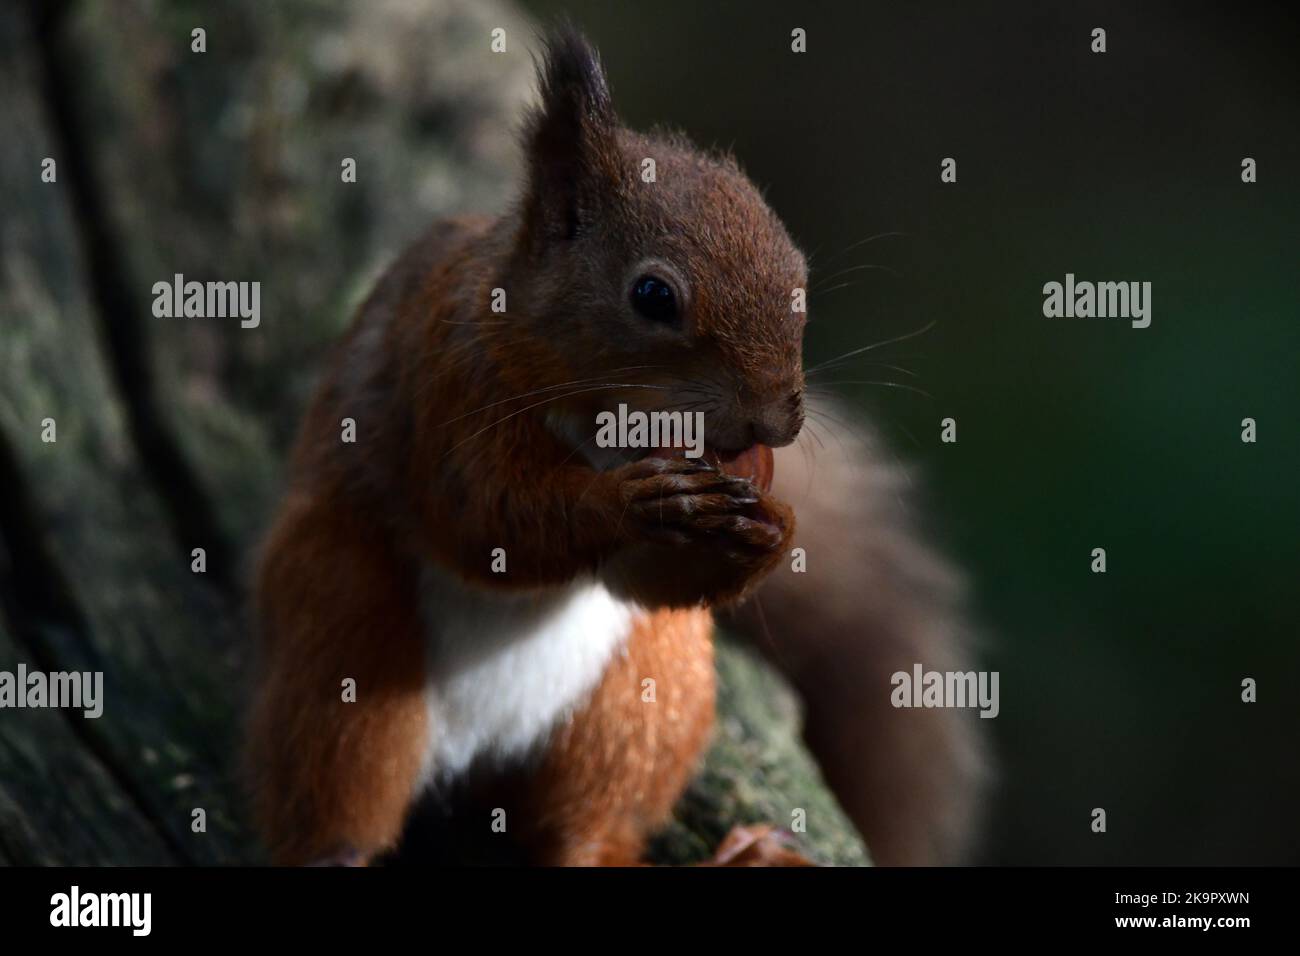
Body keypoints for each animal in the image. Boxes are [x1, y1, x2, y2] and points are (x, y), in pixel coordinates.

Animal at [247, 29, 985, 866]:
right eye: (653, 296)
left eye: (799, 277)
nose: (775, 424)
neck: (606, 420)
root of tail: (477, 753)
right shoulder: (445, 379)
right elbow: (487, 516)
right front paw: (630, 500)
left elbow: (647, 578)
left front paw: (772, 532)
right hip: (345, 626)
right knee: (340, 769)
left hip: (647, 691)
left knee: (590, 820)